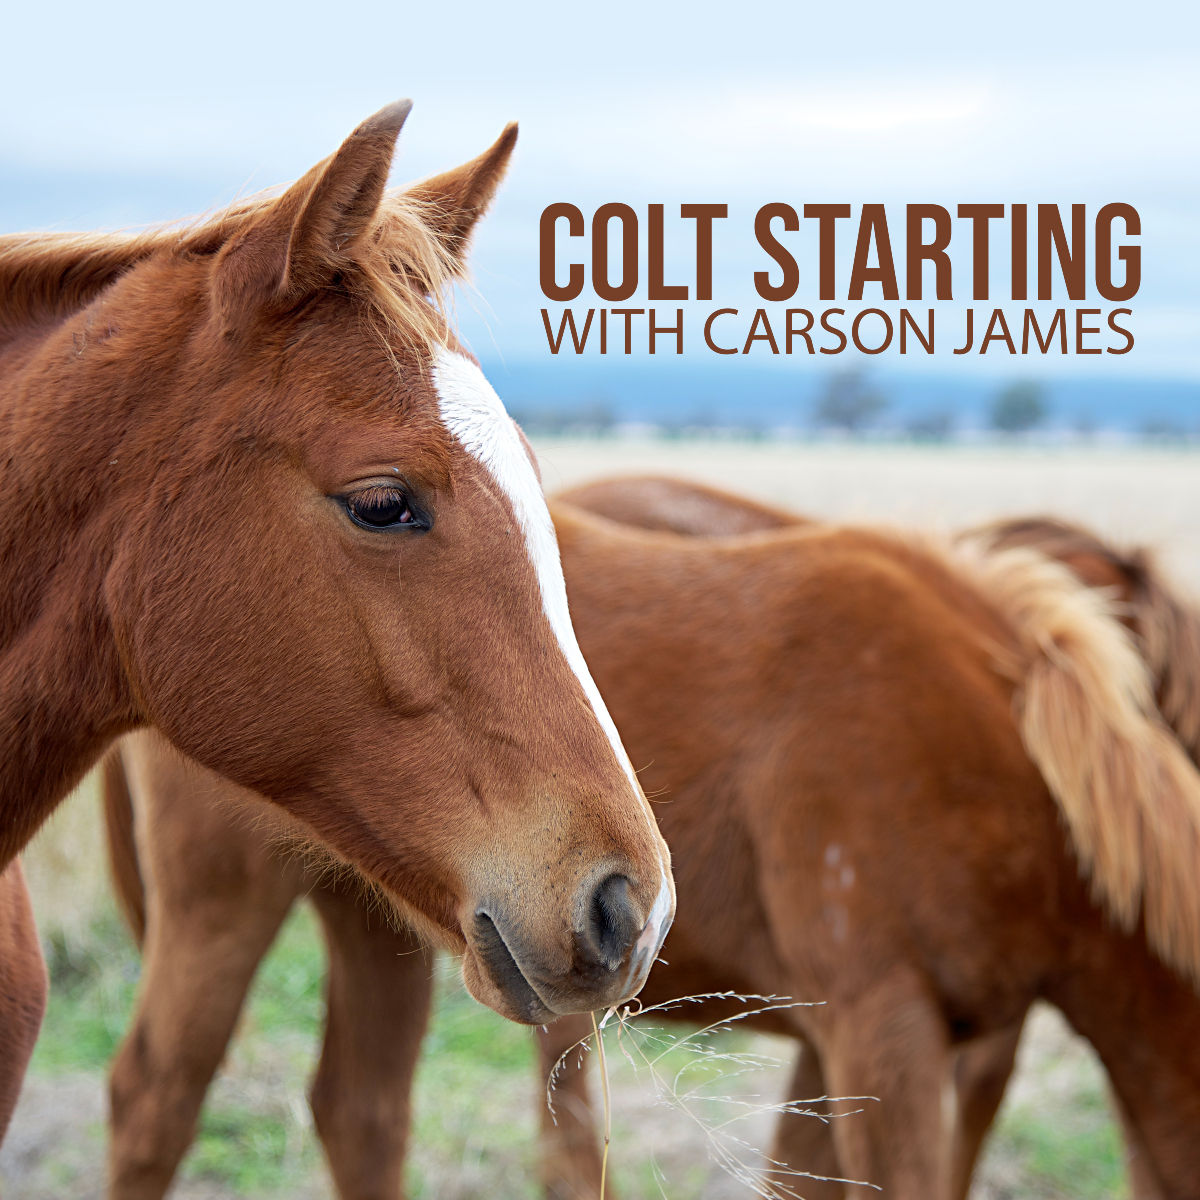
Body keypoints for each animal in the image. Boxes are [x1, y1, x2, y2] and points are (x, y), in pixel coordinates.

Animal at [96, 482, 1200, 1200]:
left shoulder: (851, 1039)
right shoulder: (885, 1028)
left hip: (384, 923)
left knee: (361, 1111)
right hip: (222, 904)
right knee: (155, 1101)